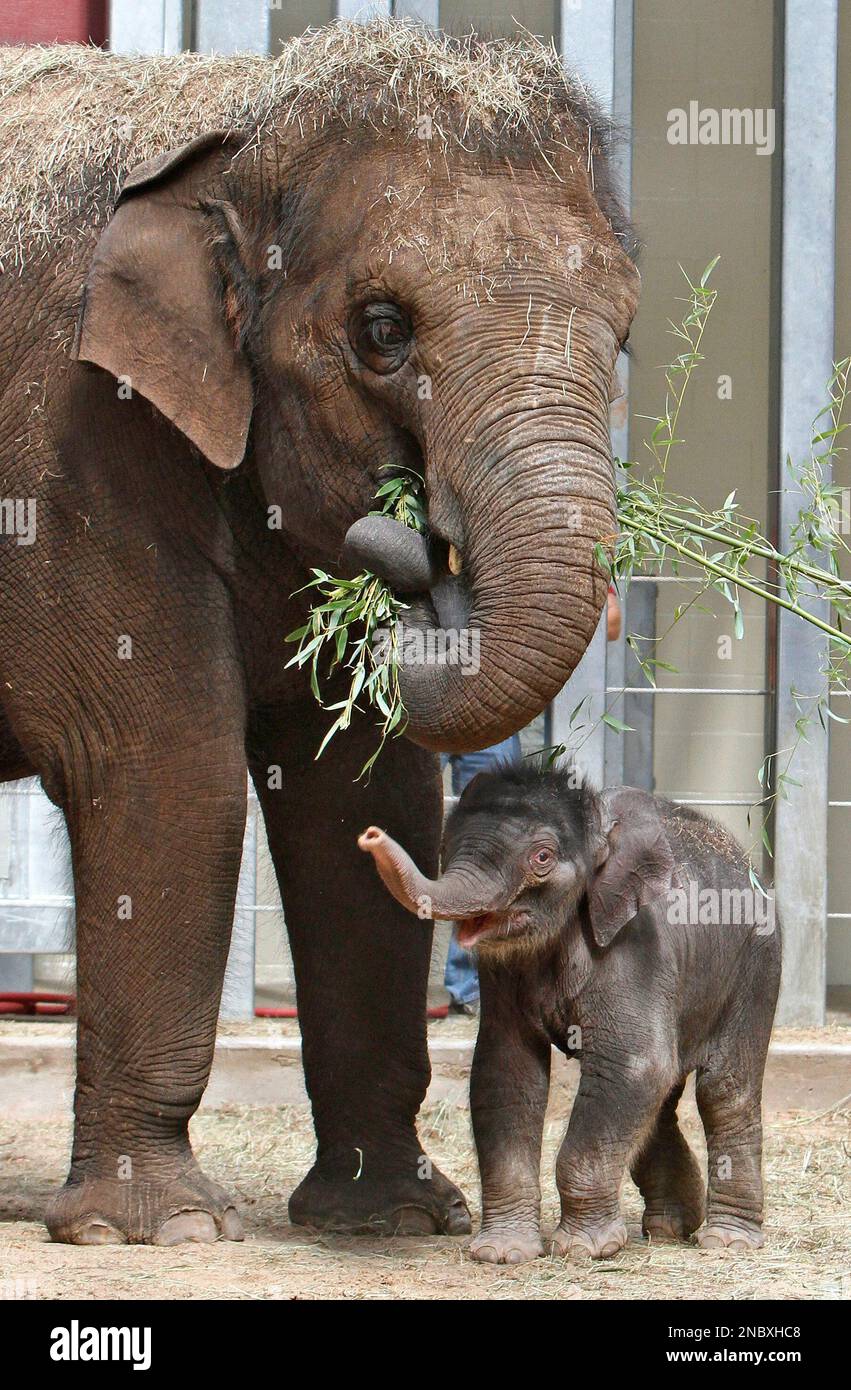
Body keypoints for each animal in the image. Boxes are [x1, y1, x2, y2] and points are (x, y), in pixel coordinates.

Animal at [0, 22, 638, 1245]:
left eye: (623, 335)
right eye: (381, 331)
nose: (416, 547)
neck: (236, 122)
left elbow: (363, 791)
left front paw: (388, 1217)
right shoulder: (71, 450)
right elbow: (166, 767)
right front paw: (158, 1228)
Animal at [360, 764, 782, 1265]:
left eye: (542, 857)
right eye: (445, 846)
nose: (369, 835)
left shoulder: (636, 948)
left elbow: (632, 1065)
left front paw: (584, 1249)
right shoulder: (503, 975)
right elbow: (507, 1072)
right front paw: (502, 1253)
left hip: (756, 968)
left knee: (722, 1090)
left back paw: (727, 1239)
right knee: (661, 1099)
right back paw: (668, 1229)